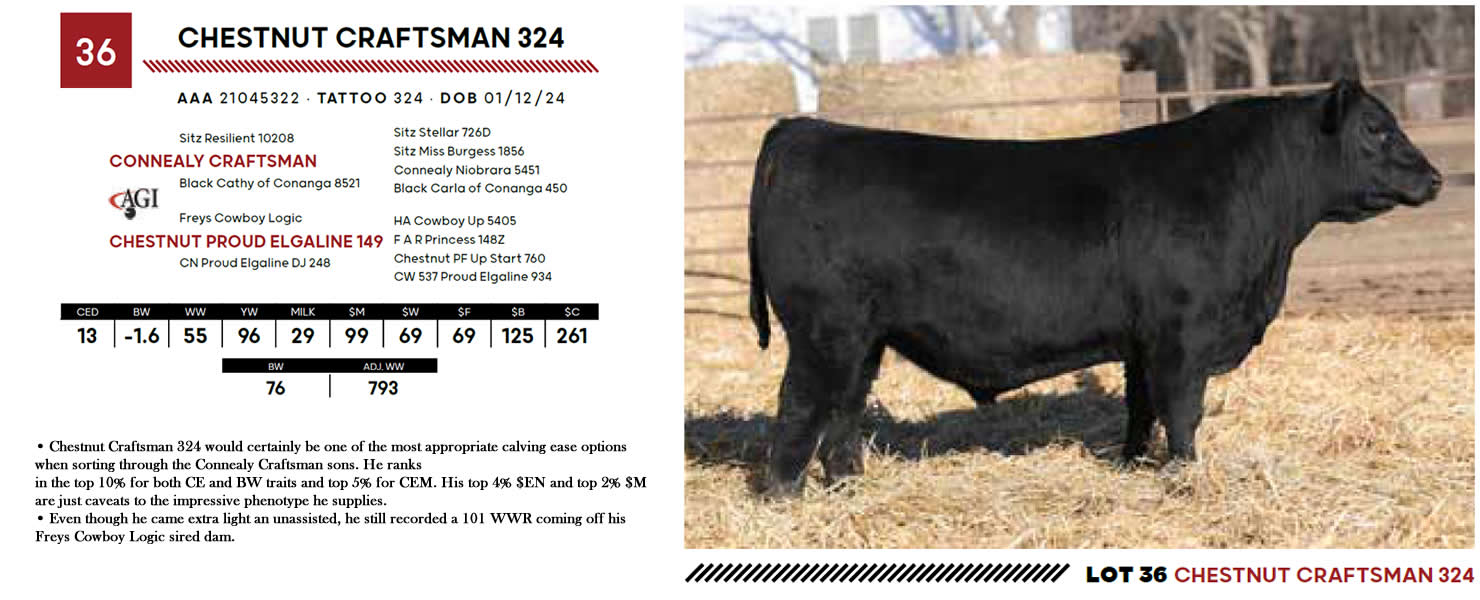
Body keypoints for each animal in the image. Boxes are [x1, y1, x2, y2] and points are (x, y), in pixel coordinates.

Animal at [746, 79, 1442, 497]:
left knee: (845, 410)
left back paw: (847, 486)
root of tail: (804, 129)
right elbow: (1182, 410)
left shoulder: (1142, 340)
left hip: (863, 337)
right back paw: (785, 496)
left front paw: (1135, 464)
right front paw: (1185, 478)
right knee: (801, 404)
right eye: (1376, 129)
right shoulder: (1184, 334)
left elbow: (1141, 407)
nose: (1434, 178)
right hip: (823, 332)